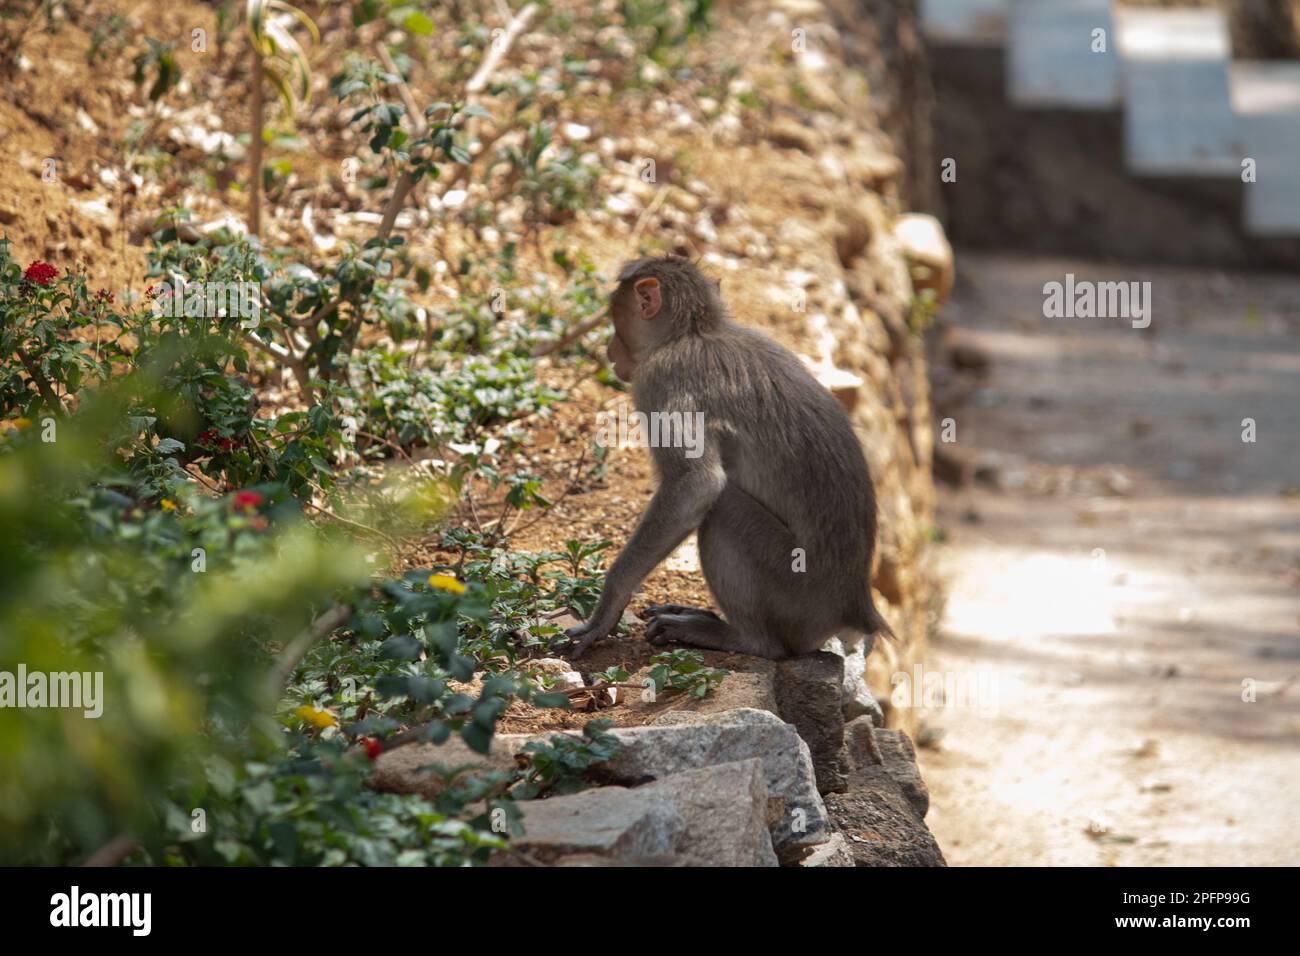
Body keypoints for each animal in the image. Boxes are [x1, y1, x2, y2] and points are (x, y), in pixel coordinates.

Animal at [565, 255, 894, 660]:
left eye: (615, 320)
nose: (611, 351)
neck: (693, 333)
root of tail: (854, 609)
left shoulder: (661, 380)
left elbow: (695, 485)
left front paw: (606, 610)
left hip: (795, 595)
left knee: (724, 507)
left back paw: (742, 638)